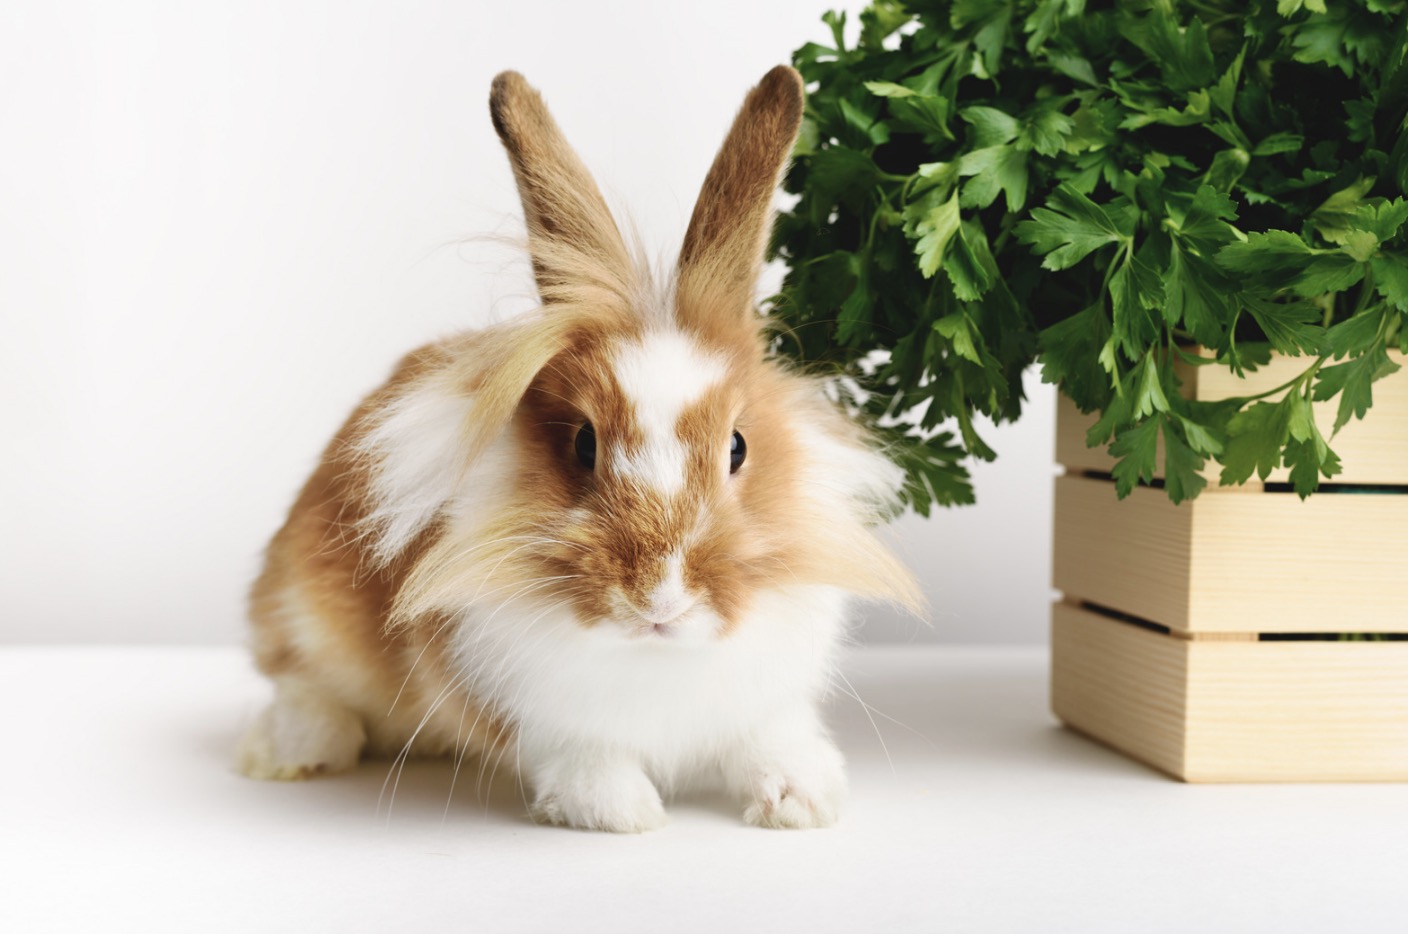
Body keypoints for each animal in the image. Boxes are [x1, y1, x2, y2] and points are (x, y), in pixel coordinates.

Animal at [236, 65, 921, 832]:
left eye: (739, 447)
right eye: (583, 444)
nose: (659, 600)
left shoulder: (765, 696)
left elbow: (772, 736)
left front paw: (803, 802)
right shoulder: (535, 712)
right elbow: (585, 757)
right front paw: (624, 813)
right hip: (298, 603)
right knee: (303, 683)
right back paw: (293, 751)